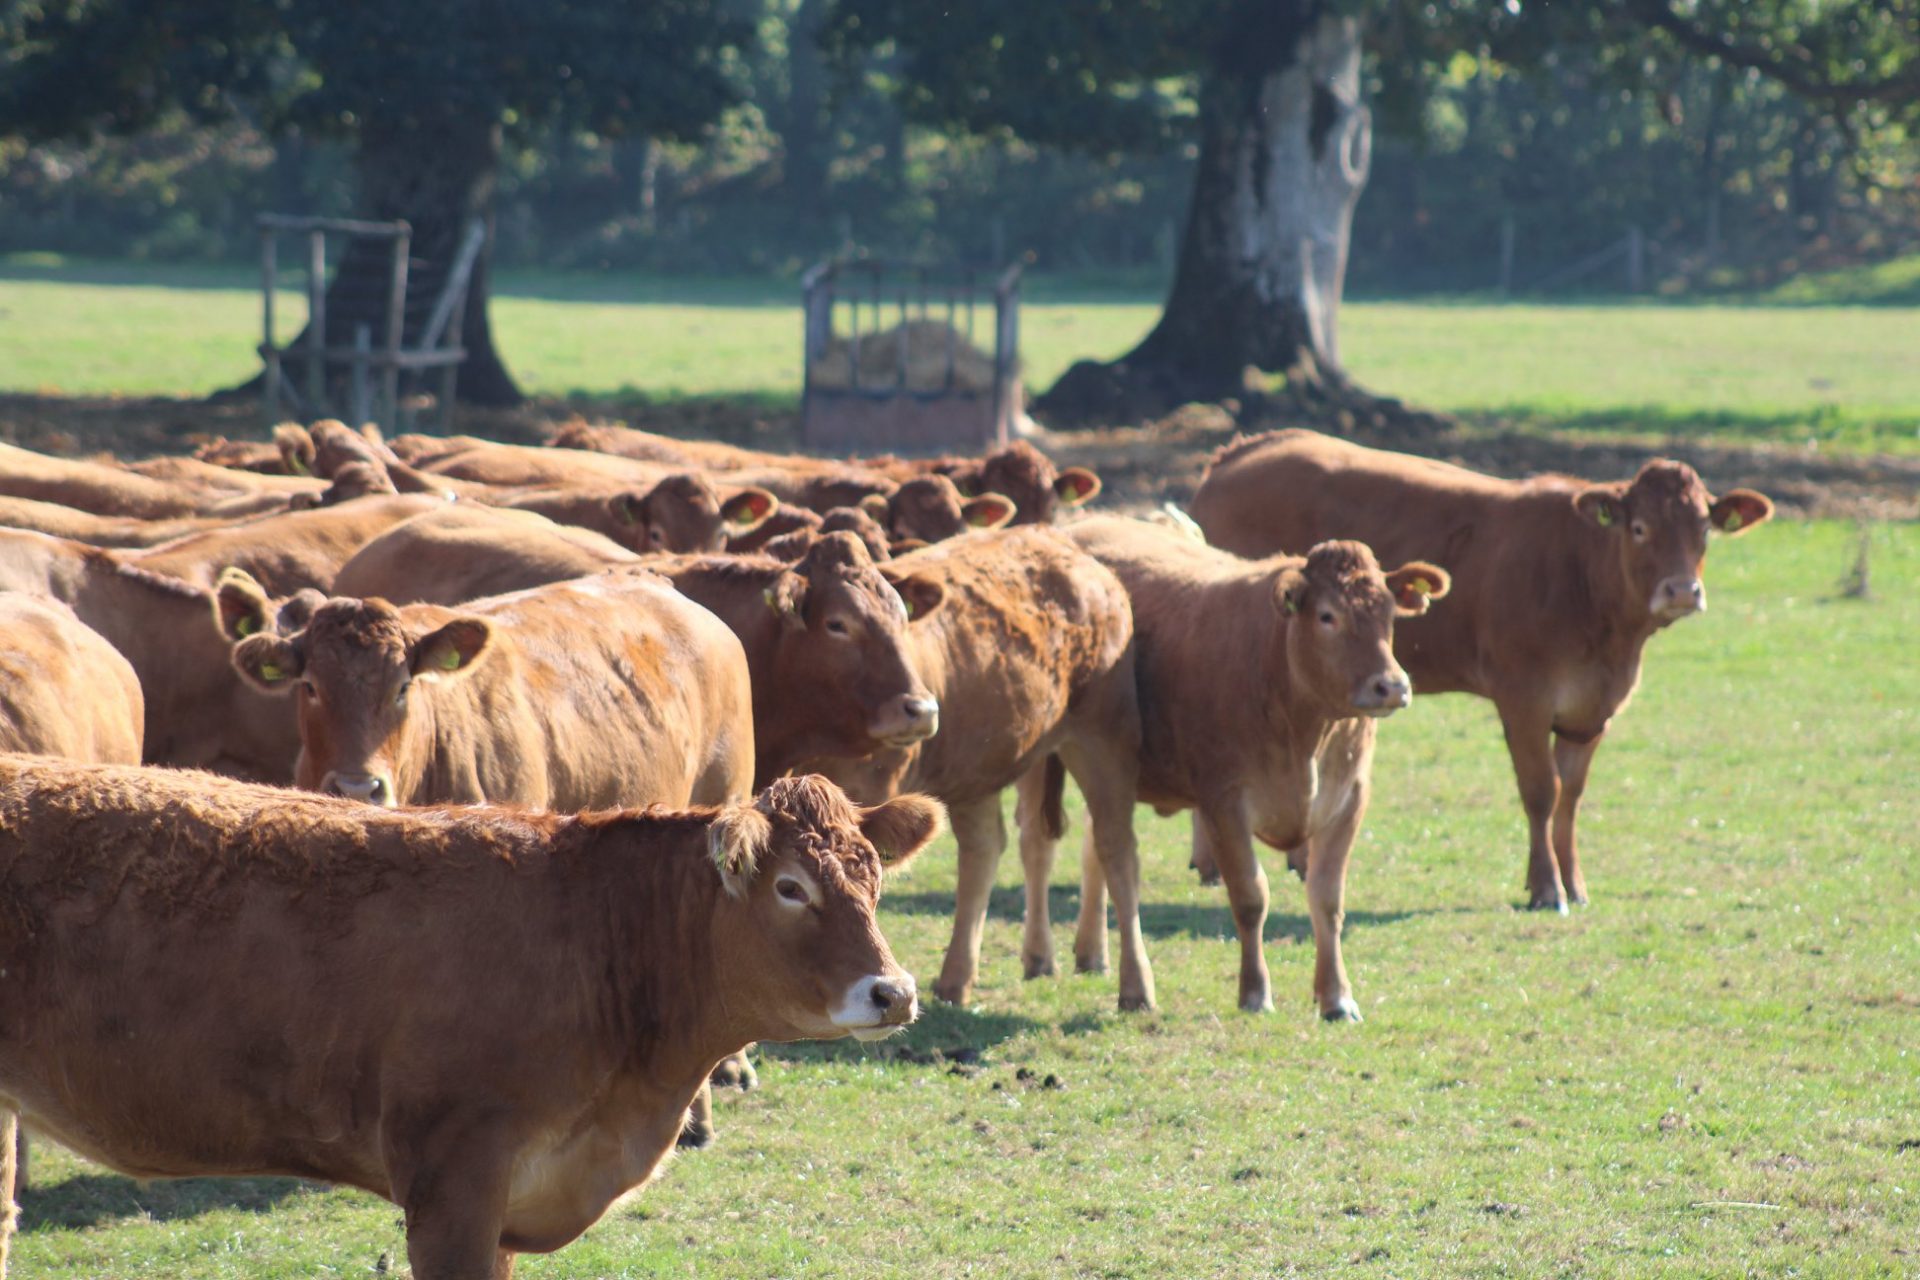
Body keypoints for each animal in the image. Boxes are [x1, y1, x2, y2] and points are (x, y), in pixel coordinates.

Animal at [802, 527, 1137, 1008]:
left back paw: (1134, 986)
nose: (919, 710)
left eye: (901, 621)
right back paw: (977, 972)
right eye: (836, 623)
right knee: (1003, 846)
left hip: (1101, 743)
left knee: (1113, 845)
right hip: (991, 766)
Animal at [1036, 516, 1449, 1017]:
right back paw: (1047, 961)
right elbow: (1251, 898)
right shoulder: (1224, 801)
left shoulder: (1349, 797)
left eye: (1389, 612)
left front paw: (1336, 997)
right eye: (1327, 616)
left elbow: (1327, 899)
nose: (1391, 686)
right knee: (1047, 847)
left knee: (1098, 847)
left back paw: (1092, 953)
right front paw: (1255, 992)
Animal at [1189, 429, 1774, 912]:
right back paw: (1217, 862)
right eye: (1638, 527)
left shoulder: (1592, 711)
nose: (1682, 591)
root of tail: (1236, 455)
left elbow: (1571, 796)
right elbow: (1541, 791)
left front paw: (1574, 882)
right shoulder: (1524, 698)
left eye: (1704, 529)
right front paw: (1547, 888)